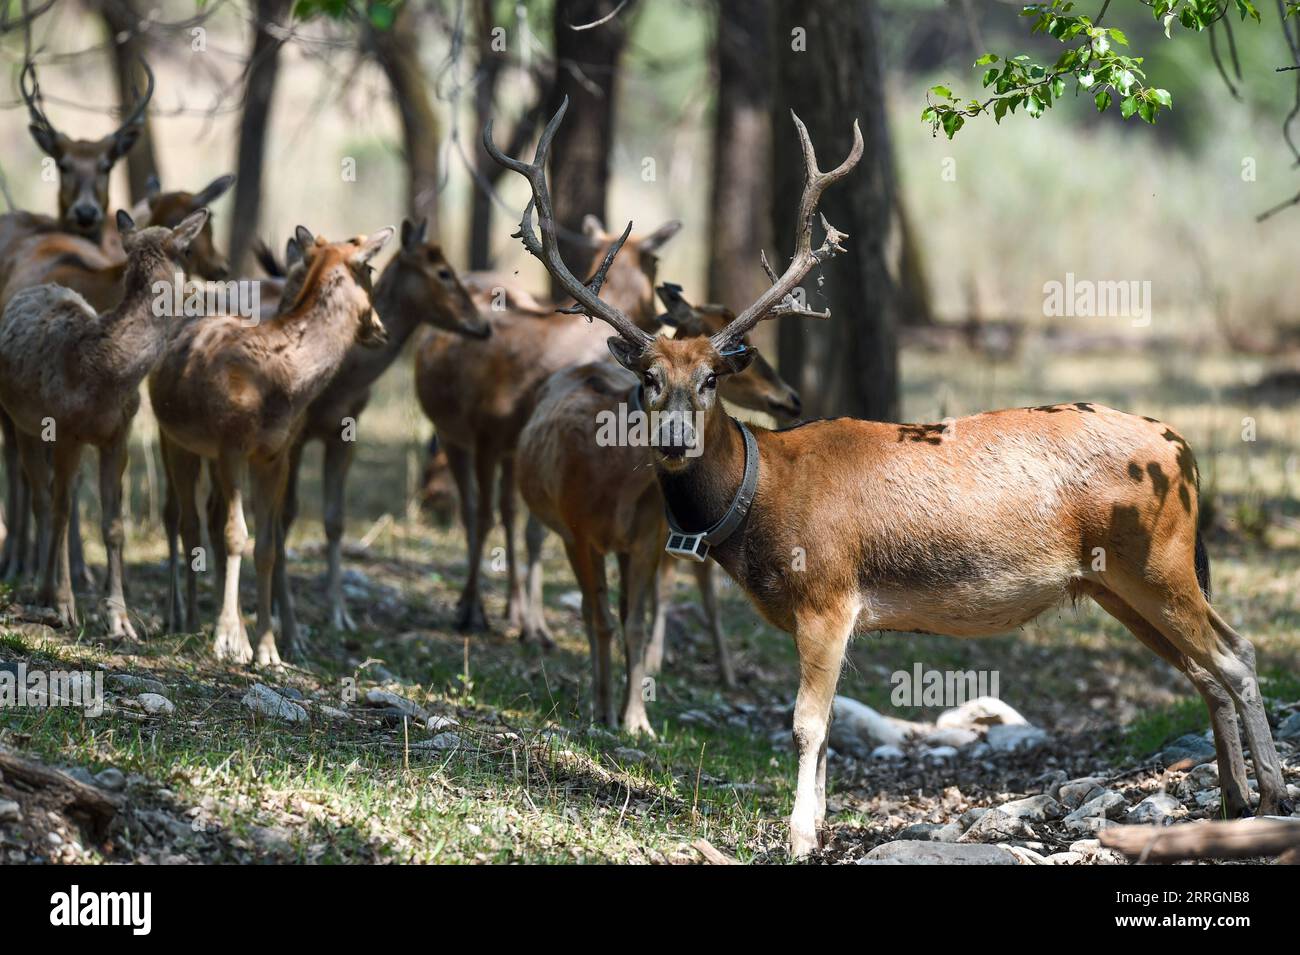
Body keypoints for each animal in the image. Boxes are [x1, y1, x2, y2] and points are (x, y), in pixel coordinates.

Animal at [0, 176, 236, 589]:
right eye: (187, 246)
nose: (222, 270)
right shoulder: (63, 429)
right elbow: (61, 502)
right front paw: (61, 590)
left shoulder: (116, 434)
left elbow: (107, 513)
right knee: (25, 476)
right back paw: (24, 567)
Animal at [149, 227, 392, 666]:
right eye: (370, 269)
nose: (381, 328)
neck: (279, 382)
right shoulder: (232, 443)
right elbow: (235, 535)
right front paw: (227, 640)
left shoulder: (275, 454)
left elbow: (266, 545)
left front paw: (267, 649)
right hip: (174, 437)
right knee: (186, 521)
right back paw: (187, 620)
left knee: (205, 518)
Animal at [268, 217, 490, 633]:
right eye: (443, 272)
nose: (484, 326)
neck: (343, 383)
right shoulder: (294, 437)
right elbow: (285, 515)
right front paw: (278, 611)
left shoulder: (346, 432)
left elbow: (334, 520)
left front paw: (340, 614)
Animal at [414, 214, 681, 640]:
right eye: (656, 260)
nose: (660, 314)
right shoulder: (486, 433)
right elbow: (485, 518)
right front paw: (473, 612)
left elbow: (533, 530)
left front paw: (535, 624)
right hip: (453, 433)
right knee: (474, 511)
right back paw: (475, 603)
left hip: (511, 449)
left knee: (509, 513)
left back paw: (515, 609)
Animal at [516, 285, 801, 731]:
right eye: (650, 378)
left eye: (711, 378)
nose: (792, 399)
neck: (615, 484)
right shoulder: (579, 532)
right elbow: (601, 620)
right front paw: (603, 710)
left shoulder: (649, 537)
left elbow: (634, 621)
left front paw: (636, 718)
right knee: (577, 595)